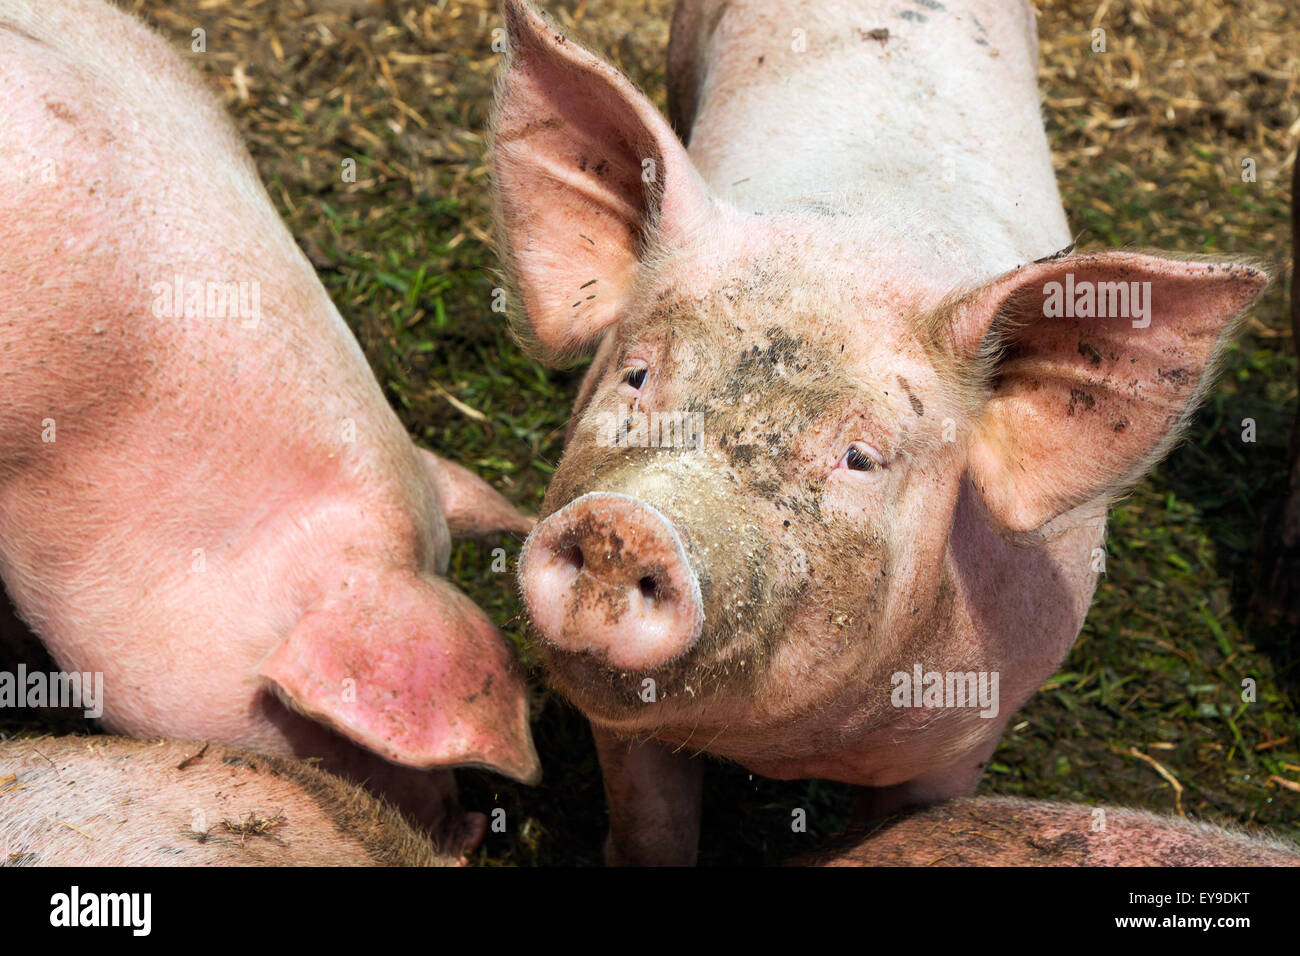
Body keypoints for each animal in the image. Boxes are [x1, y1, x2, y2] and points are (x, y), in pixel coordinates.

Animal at [496, 0, 1269, 864]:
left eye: (859, 457)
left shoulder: (970, 732)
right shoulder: (624, 733)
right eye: (637, 376)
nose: (624, 527)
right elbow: (650, 829)